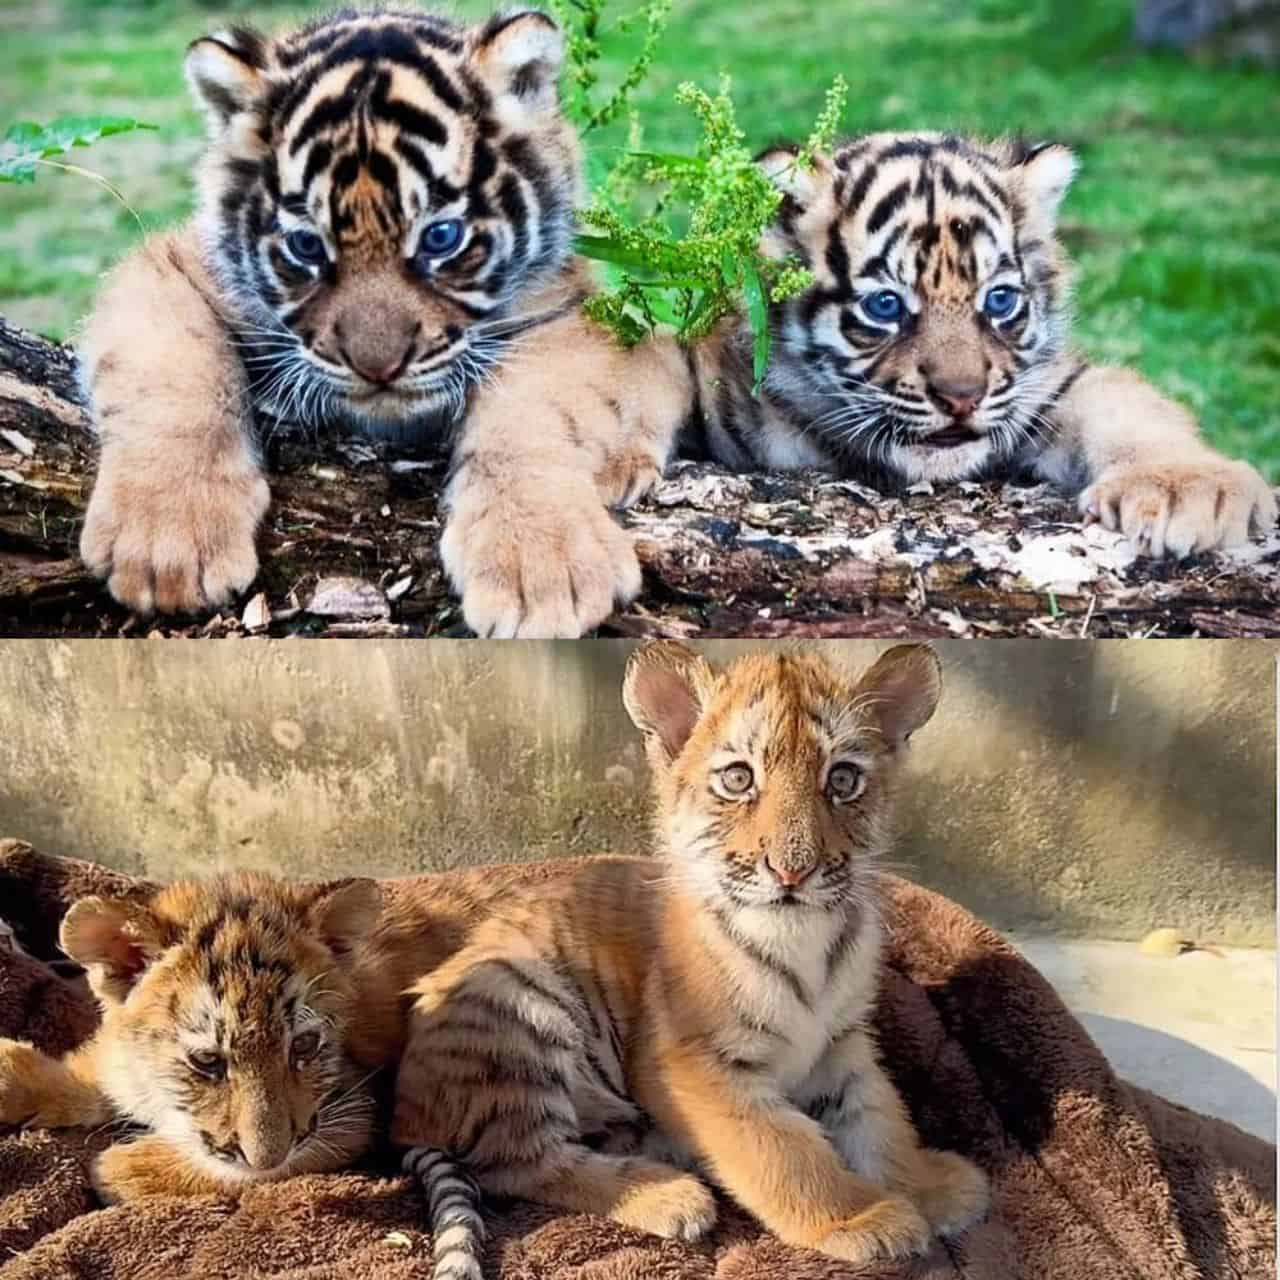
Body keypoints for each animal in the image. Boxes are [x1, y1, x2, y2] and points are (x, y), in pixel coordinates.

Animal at [77, 6, 689, 637]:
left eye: (441, 237)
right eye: (306, 246)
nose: (377, 367)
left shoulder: (571, 309)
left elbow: (534, 415)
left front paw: (540, 563)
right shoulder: (168, 266)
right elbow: (173, 376)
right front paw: (165, 541)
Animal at [391, 641, 990, 1269]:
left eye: (843, 779)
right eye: (738, 778)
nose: (793, 871)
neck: (805, 939)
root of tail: (403, 1112)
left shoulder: (843, 1042)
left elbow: (879, 1117)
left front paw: (932, 1188)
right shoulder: (695, 1062)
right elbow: (784, 1149)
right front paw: (864, 1219)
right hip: (518, 1000)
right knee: (516, 1162)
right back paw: (673, 1196)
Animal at [684, 132, 1276, 558]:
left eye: (998, 300)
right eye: (885, 306)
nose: (961, 397)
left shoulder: (1054, 390)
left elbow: (1128, 403)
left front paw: (1186, 488)